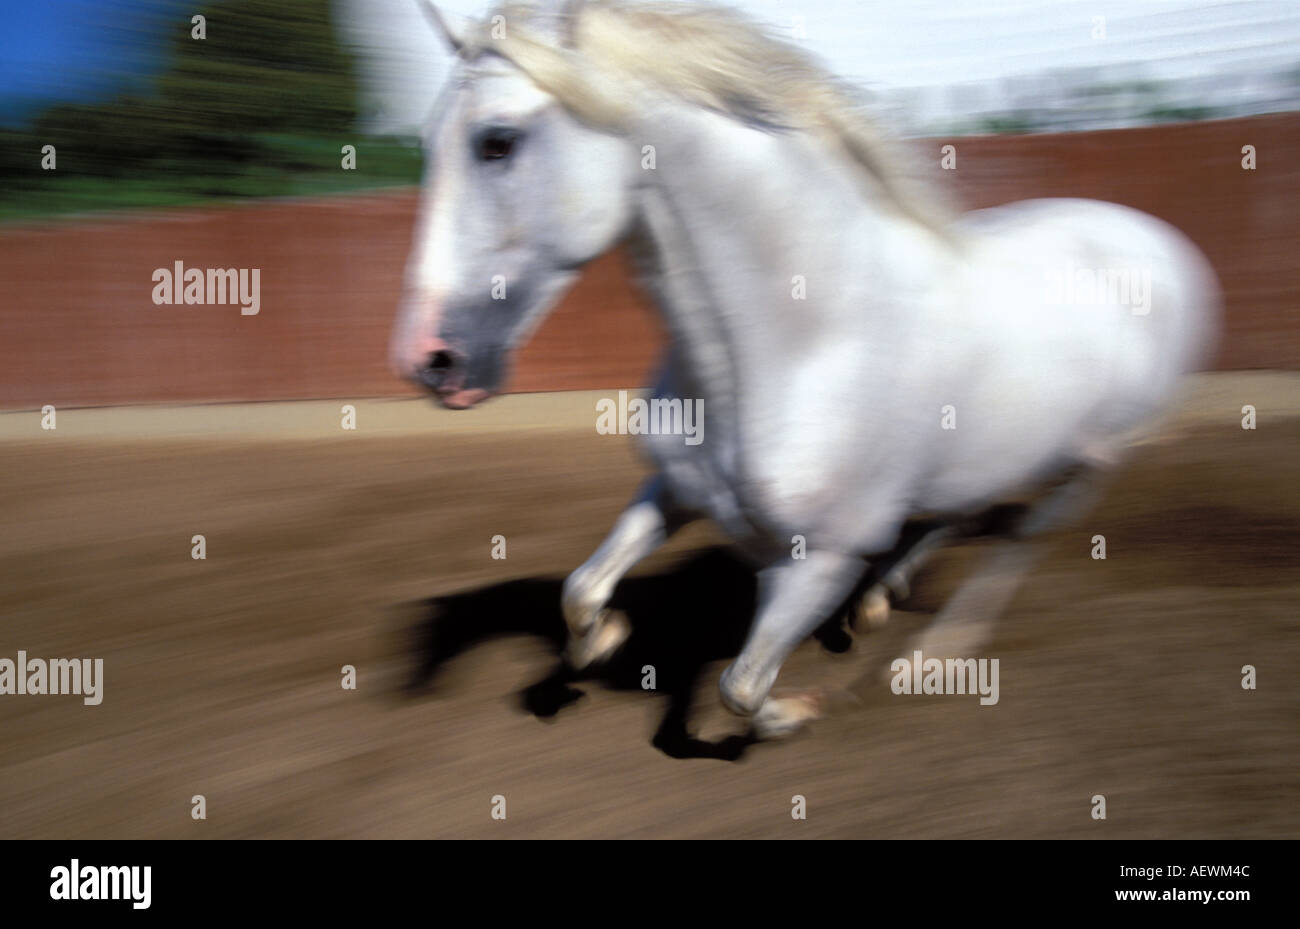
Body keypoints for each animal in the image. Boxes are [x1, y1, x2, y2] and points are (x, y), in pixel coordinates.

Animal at [389, 0, 1220, 739]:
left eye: (497, 141)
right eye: (427, 139)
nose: (427, 360)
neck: (800, 345)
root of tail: (1159, 240)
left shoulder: (819, 559)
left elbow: (740, 686)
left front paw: (803, 709)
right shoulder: (672, 491)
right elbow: (581, 589)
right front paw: (602, 641)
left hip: (1095, 459)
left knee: (1021, 538)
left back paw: (936, 654)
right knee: (968, 509)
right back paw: (885, 599)